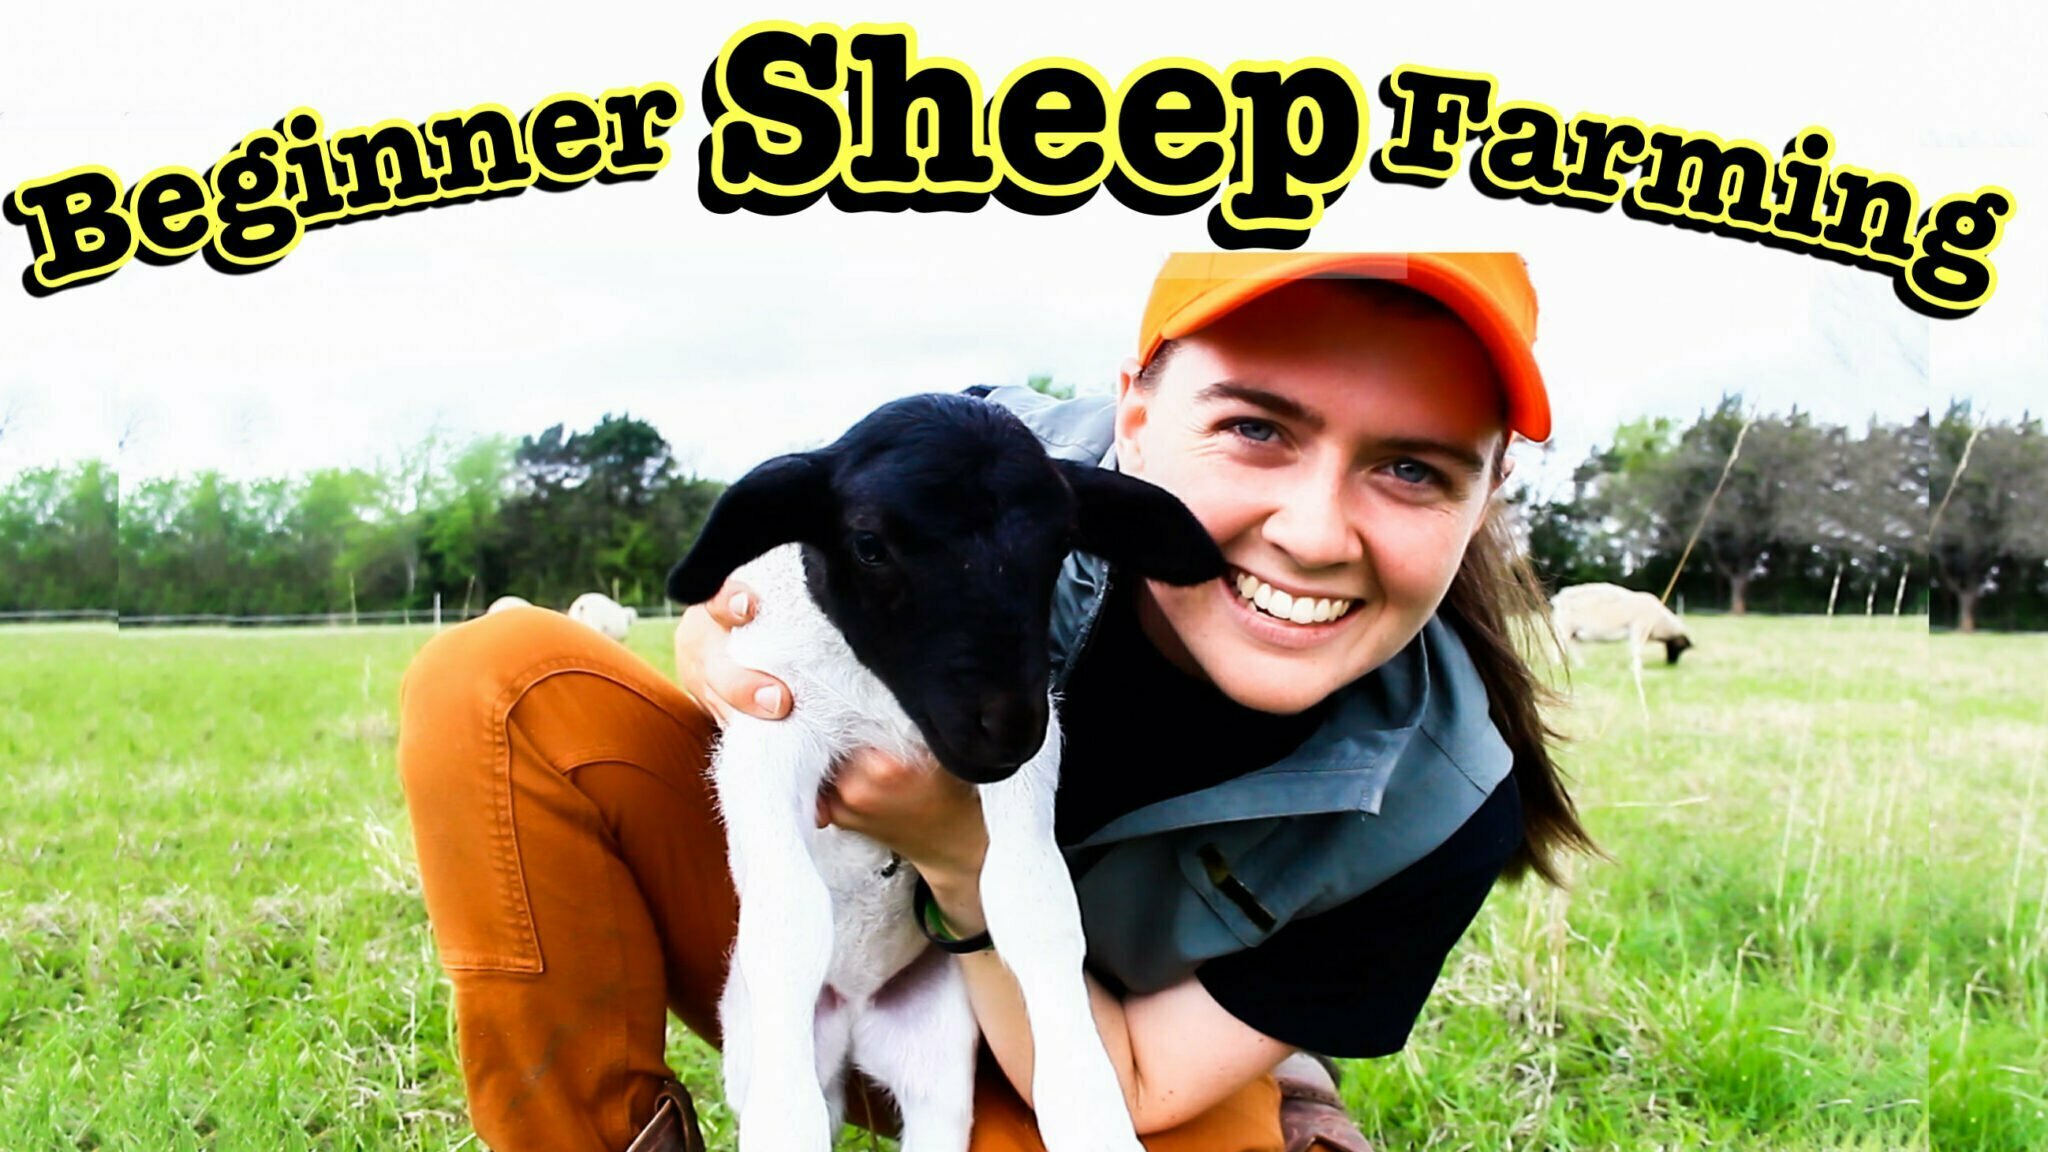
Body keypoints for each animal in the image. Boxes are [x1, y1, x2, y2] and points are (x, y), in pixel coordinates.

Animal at [666, 393, 1225, 1152]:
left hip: (935, 1055)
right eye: (869, 545)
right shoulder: (769, 734)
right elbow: (788, 916)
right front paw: (785, 1122)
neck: (882, 702)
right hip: (758, 1038)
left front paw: (1089, 1113)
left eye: (1061, 545)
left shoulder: (1029, 765)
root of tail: (855, 1014)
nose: (1010, 726)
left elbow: (1036, 904)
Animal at [1550, 582, 1693, 714]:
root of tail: (1559, 597)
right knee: (1560, 644)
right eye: (1680, 648)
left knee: (1572, 647)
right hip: (1565, 626)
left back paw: (1581, 665)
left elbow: (1634, 649)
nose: (1671, 664)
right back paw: (1559, 664)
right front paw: (1637, 667)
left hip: (1573, 632)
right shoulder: (1639, 628)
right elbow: (1637, 649)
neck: (1659, 622)